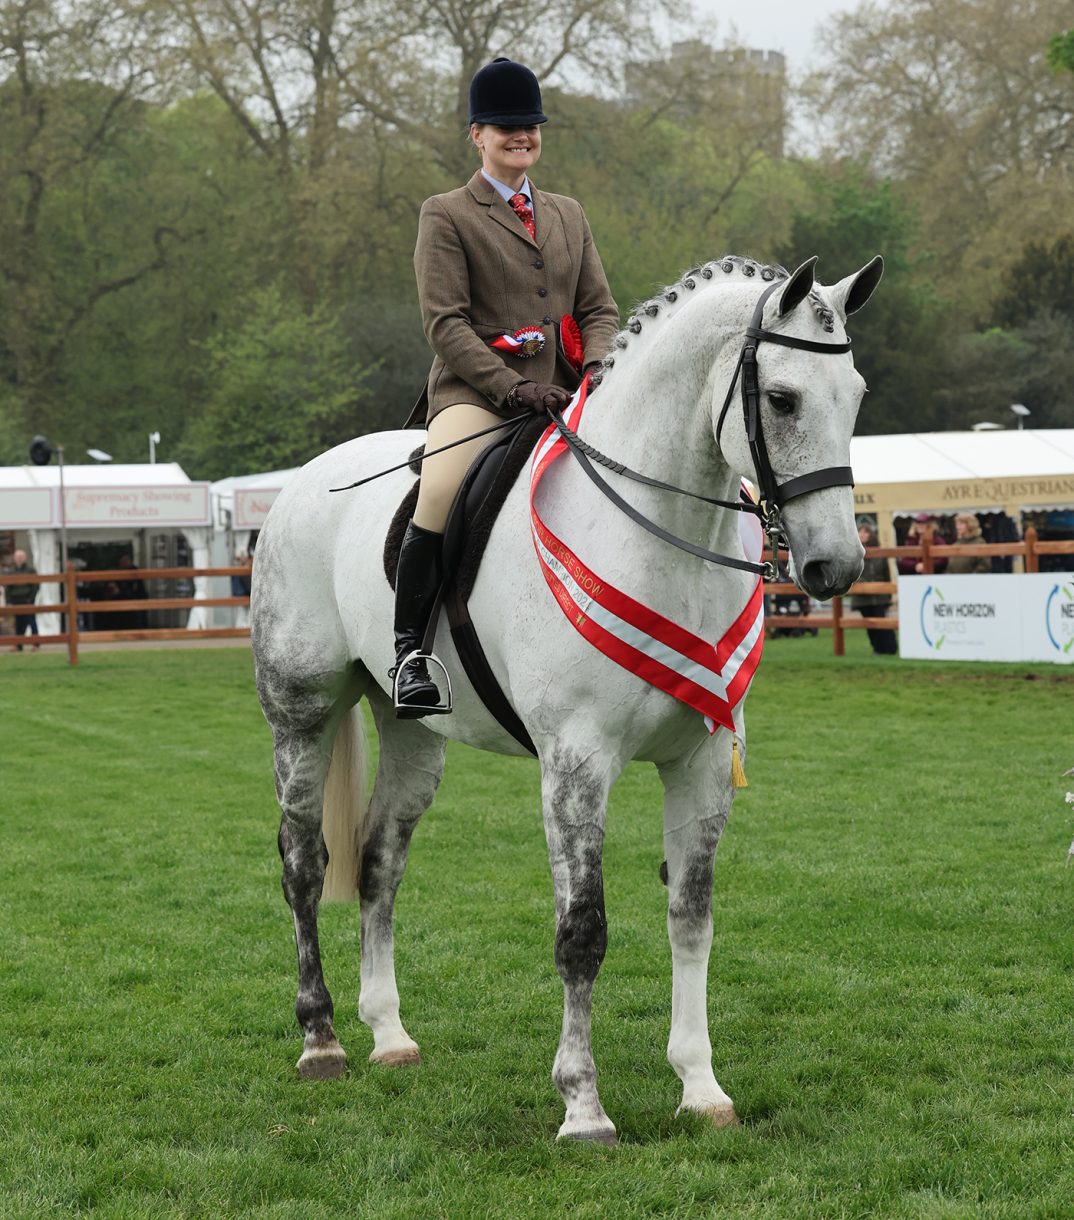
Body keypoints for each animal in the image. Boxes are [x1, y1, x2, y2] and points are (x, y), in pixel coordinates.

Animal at [251, 252, 883, 1144]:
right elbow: (582, 931)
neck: (656, 533)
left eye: (854, 395)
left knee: (379, 861)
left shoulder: (701, 763)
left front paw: (702, 1089)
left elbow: (692, 916)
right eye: (784, 399)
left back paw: (390, 1036)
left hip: (413, 733)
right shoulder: (577, 763)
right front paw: (583, 1107)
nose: (836, 567)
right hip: (300, 713)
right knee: (305, 864)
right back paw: (321, 1038)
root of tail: (306, 482)